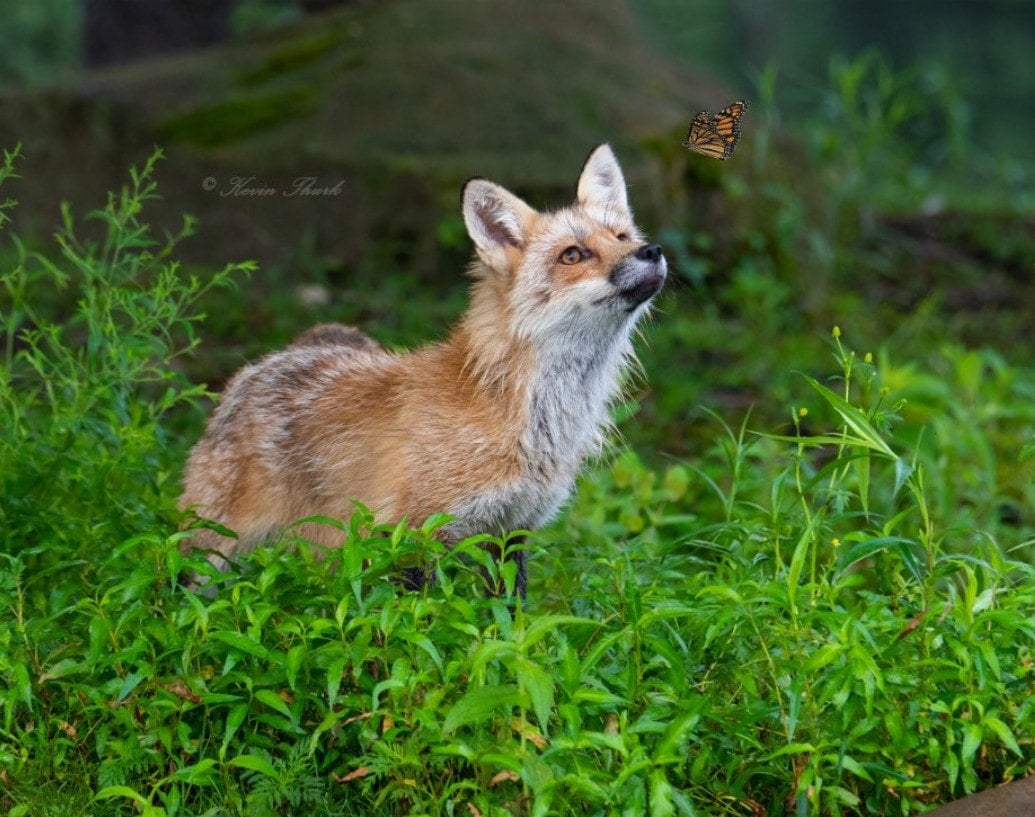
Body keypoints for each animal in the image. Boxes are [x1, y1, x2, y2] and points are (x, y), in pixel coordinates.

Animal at [180, 144, 667, 593]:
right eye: (572, 255)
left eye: (622, 236)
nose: (652, 250)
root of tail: (274, 357)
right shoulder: (412, 534)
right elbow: (420, 622)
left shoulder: (511, 532)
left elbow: (507, 620)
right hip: (213, 549)